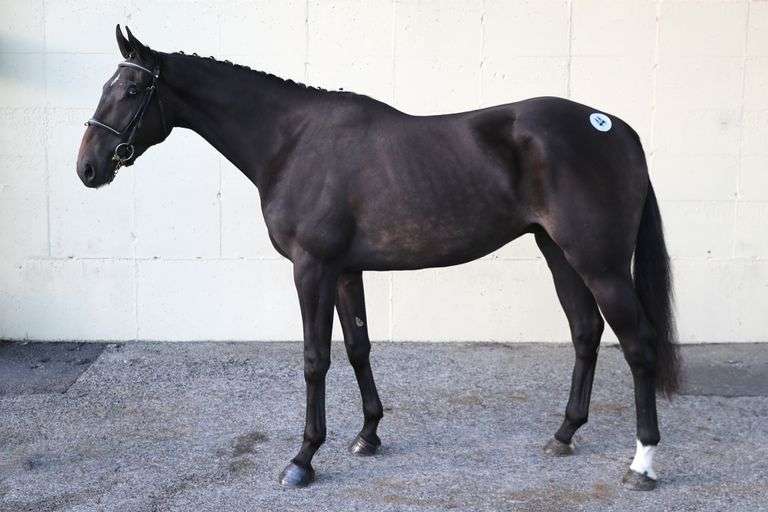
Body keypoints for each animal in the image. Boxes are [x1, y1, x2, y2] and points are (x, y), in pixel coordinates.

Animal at [77, 26, 679, 491]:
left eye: (132, 89)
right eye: (107, 86)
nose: (87, 168)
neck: (292, 142)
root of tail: (617, 128)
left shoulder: (311, 268)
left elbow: (315, 359)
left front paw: (302, 460)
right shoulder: (345, 270)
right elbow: (358, 348)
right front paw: (367, 435)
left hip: (600, 263)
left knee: (638, 343)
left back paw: (642, 465)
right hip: (559, 252)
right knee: (585, 332)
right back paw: (563, 435)